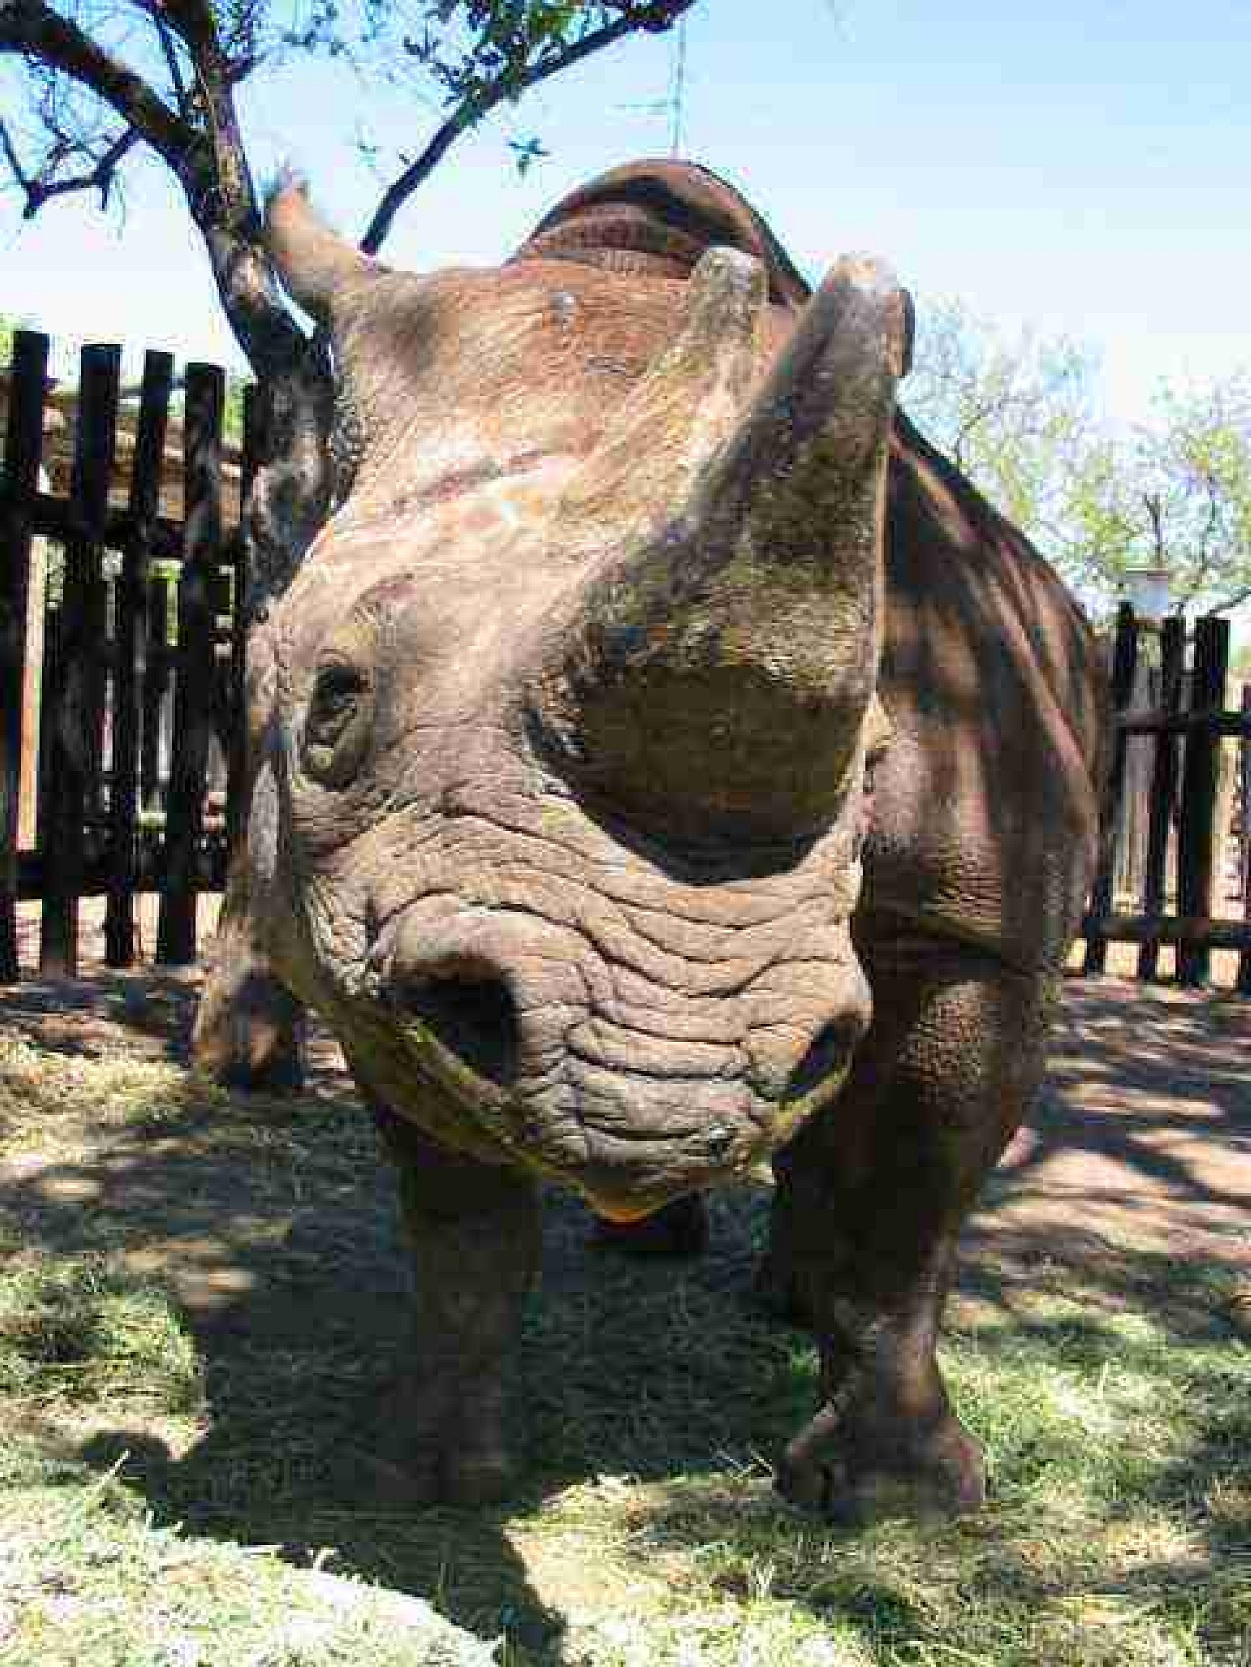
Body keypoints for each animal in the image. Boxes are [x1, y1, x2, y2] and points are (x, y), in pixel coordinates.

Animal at [193, 160, 1106, 1521]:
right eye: (333, 703)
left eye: (877, 757)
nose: (660, 1075)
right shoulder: (372, 923)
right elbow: (460, 1221)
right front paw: (427, 1470)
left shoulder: (983, 927)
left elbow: (912, 1201)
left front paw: (895, 1497)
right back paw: (655, 1246)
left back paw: (782, 1300)